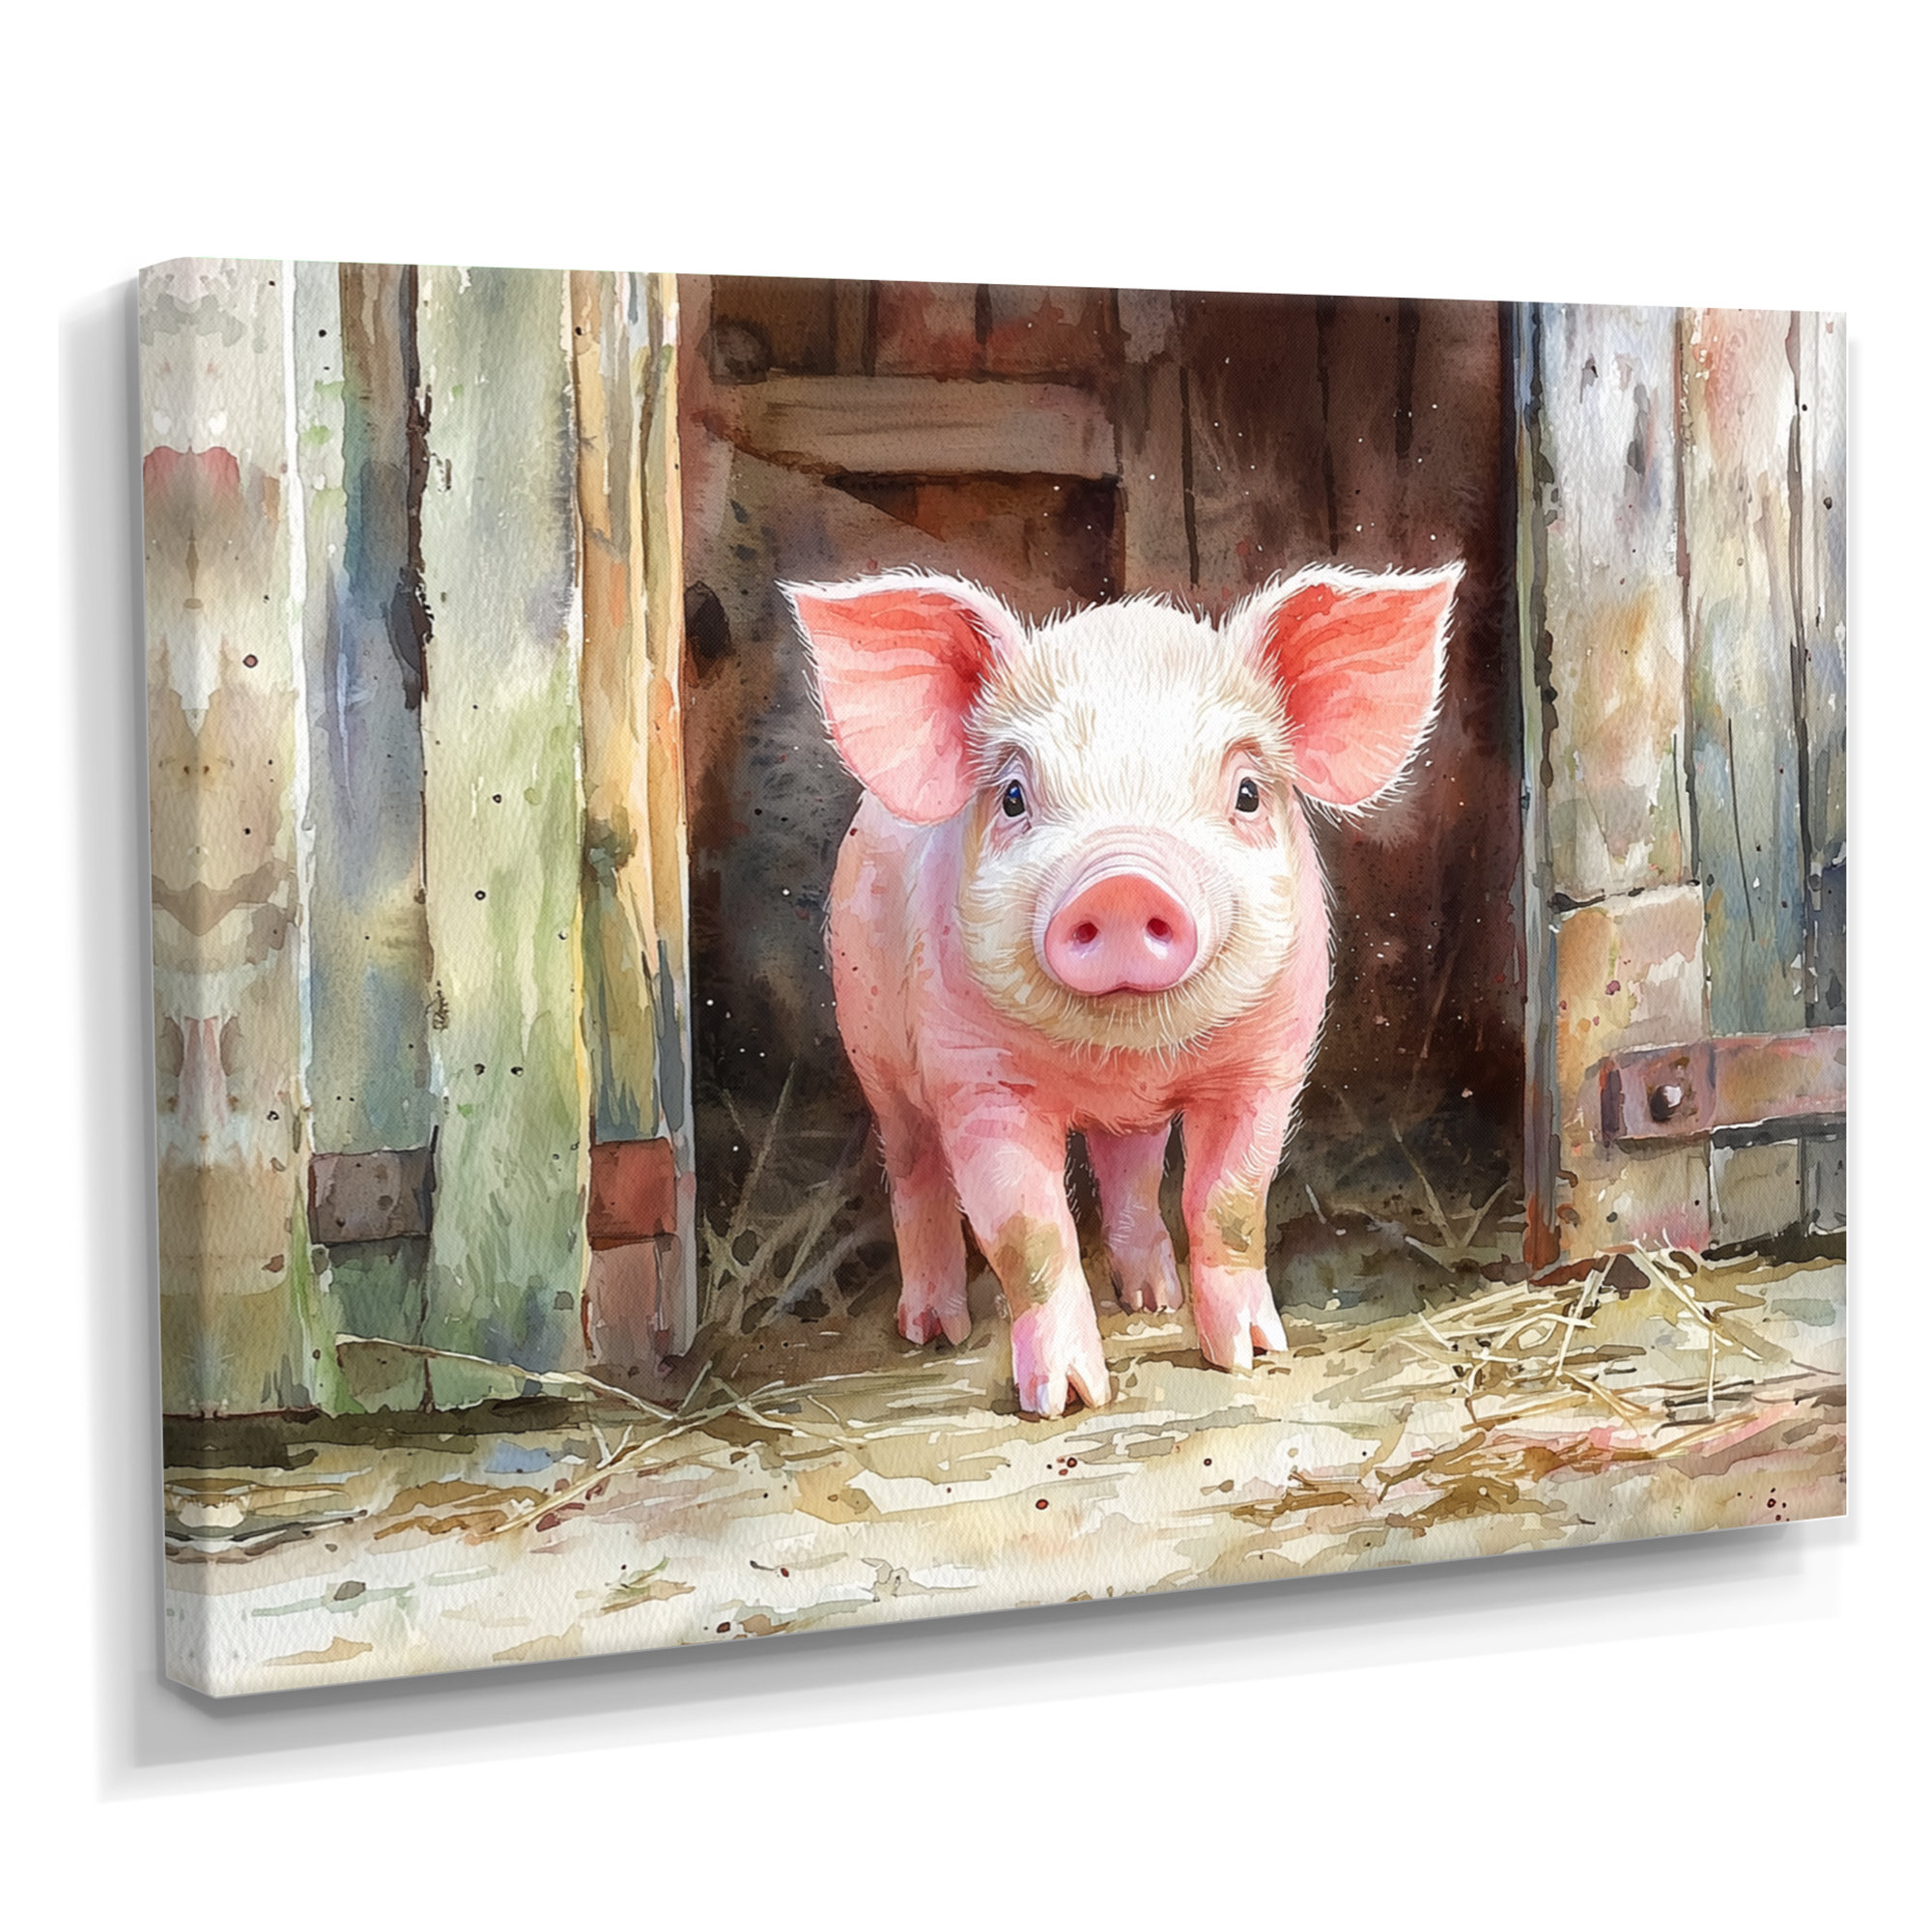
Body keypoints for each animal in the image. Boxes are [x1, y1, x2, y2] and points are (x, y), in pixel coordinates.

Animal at [785, 563, 1460, 1417]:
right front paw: (1066, 1401)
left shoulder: (1270, 1060)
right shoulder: (975, 1076)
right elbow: (1028, 1230)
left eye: (1247, 792)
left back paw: (1151, 1297)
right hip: (873, 1049)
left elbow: (1229, 1203)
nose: (1122, 883)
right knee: (915, 1171)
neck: (1124, 1057)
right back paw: (934, 1329)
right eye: (1013, 795)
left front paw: (1252, 1357)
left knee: (1129, 1165)